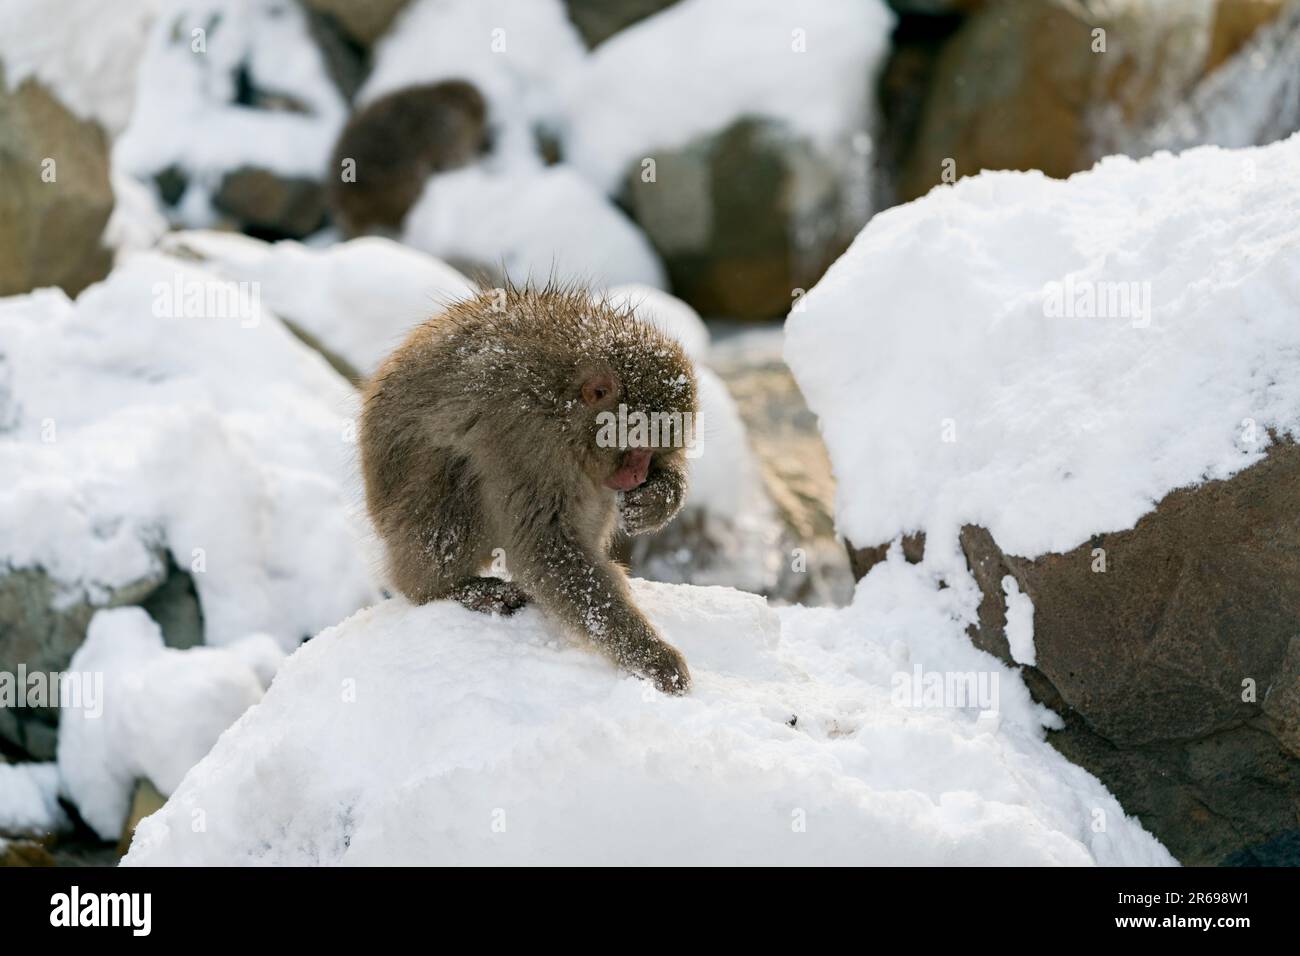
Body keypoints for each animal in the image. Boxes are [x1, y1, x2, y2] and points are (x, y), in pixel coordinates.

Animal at [359, 282, 698, 694]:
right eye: (634, 450)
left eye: (651, 453)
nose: (636, 477)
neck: (564, 401)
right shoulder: (527, 438)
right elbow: (548, 548)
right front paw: (650, 657)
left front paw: (657, 498)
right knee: (455, 473)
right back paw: (444, 589)